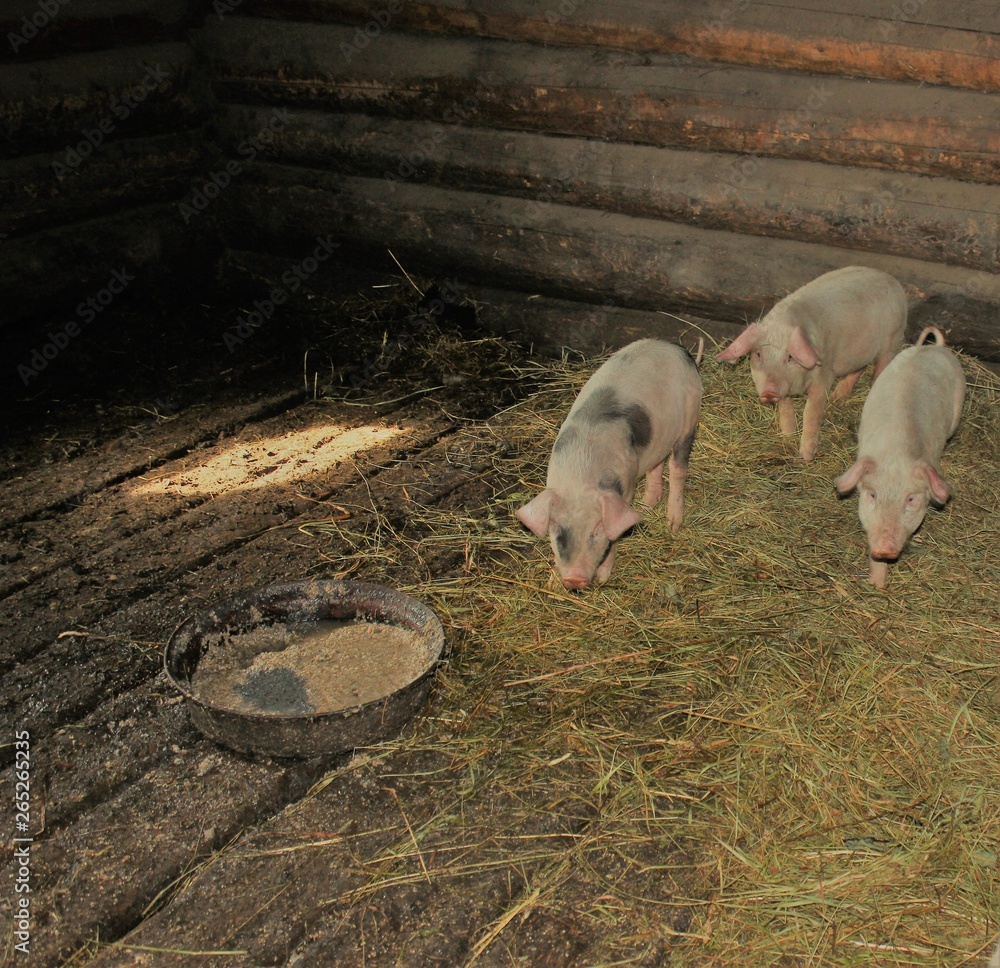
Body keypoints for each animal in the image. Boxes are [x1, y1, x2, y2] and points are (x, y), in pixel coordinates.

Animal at [516, 339, 702, 590]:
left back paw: (672, 525)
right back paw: (645, 507)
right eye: (558, 533)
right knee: (656, 464)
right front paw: (552, 580)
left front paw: (603, 577)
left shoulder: (626, 485)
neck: (581, 471)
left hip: (690, 416)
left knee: (677, 468)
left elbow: (615, 535)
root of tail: (677, 348)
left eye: (596, 530)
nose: (574, 579)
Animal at [716, 265, 907, 460]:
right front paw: (787, 436)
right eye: (758, 354)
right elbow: (785, 408)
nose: (769, 392)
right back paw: (837, 398)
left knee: (880, 370)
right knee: (858, 369)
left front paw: (806, 456)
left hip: (893, 340)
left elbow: (811, 412)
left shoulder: (823, 377)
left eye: (790, 357)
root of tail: (891, 280)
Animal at [834, 326, 965, 588]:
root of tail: (935, 348)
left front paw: (878, 586)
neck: (897, 454)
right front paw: (877, 585)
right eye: (872, 495)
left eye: (911, 499)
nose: (885, 547)